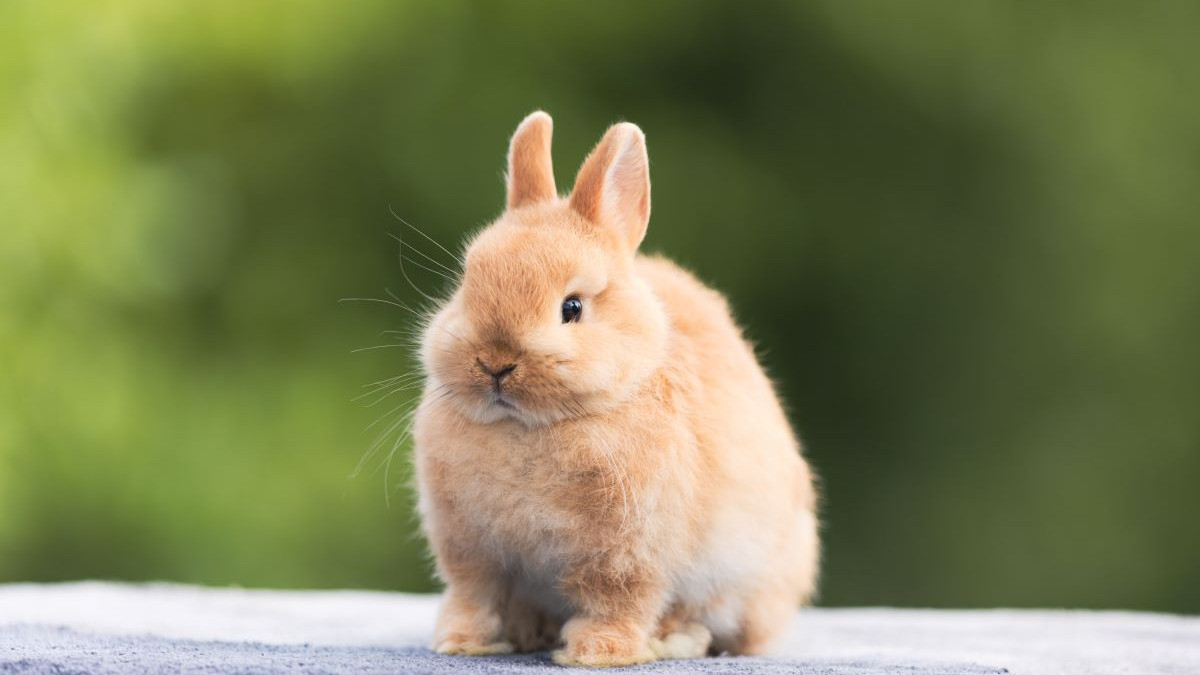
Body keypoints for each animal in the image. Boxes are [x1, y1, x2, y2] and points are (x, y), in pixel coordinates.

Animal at [412, 111, 819, 667]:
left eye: (572, 307)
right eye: (465, 284)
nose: (495, 363)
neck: (528, 428)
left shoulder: (627, 554)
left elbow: (617, 601)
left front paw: (596, 653)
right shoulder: (472, 551)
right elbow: (474, 597)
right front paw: (460, 642)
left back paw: (671, 638)